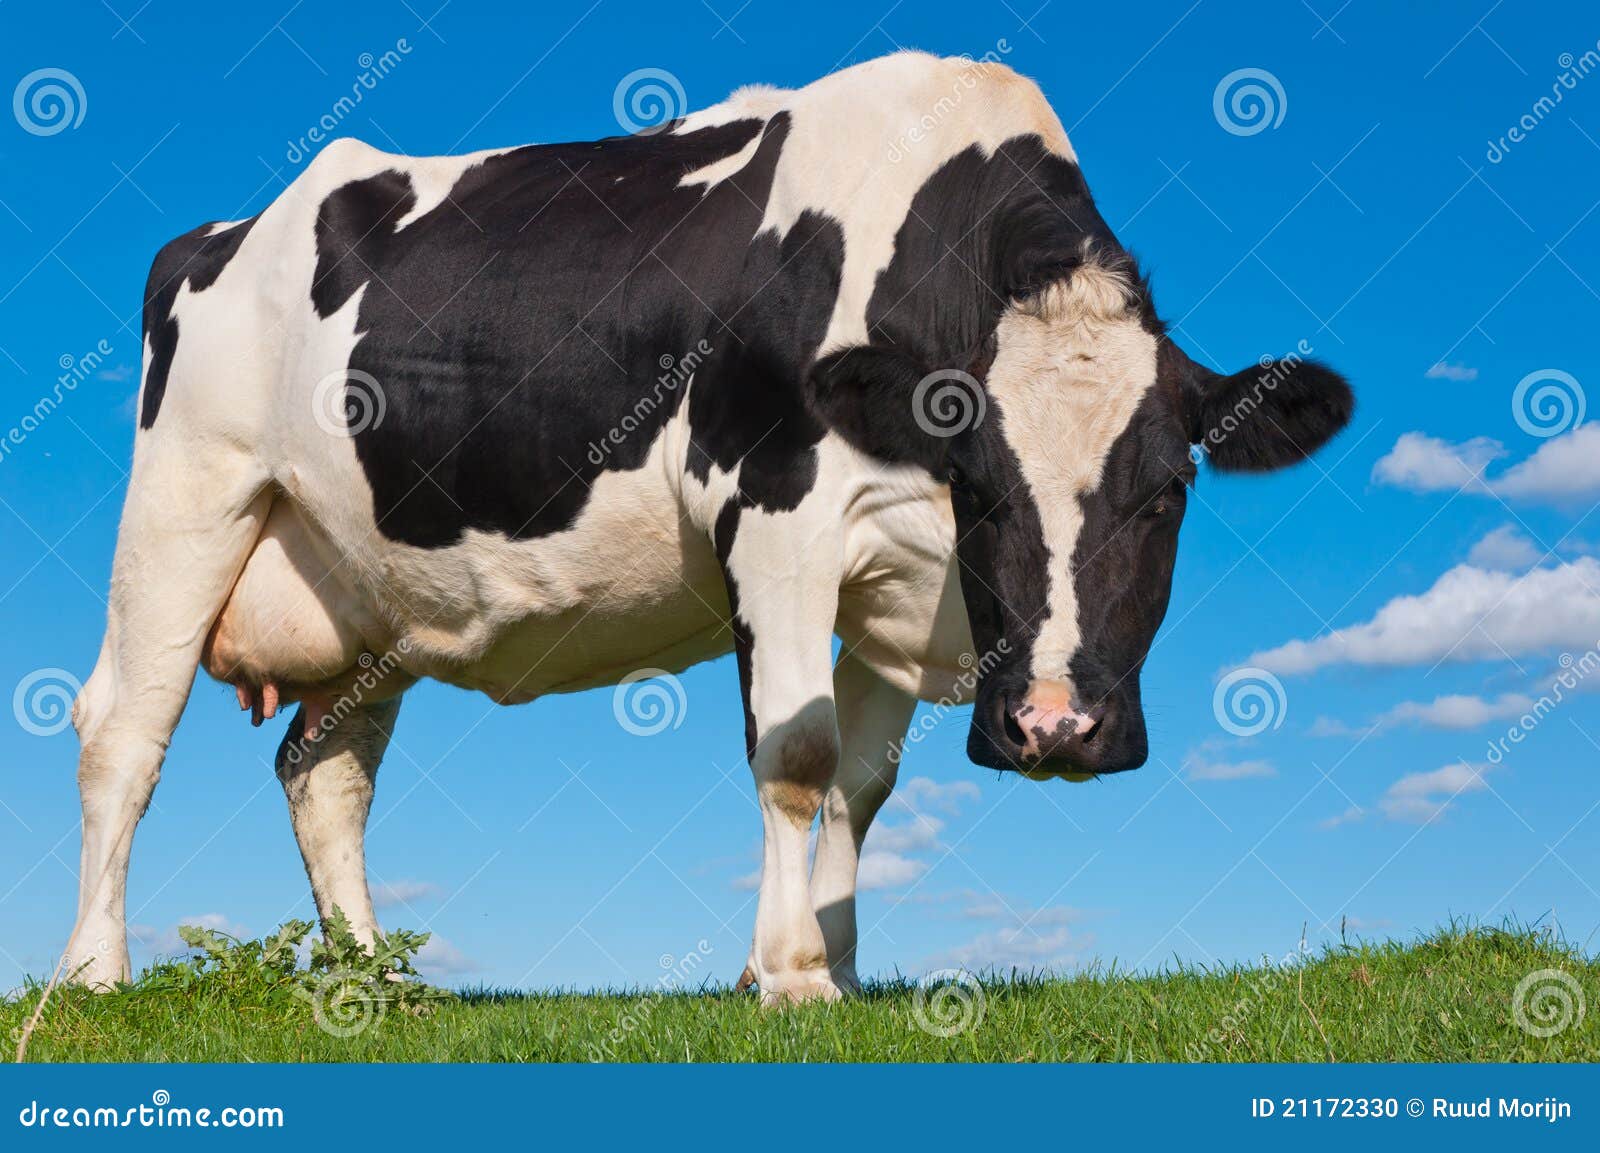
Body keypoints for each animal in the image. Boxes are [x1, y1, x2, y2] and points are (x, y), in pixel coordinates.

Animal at [64, 52, 1351, 1002]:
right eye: (980, 485)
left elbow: (864, 782)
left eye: (1168, 492)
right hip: (190, 495)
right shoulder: (776, 510)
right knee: (122, 729)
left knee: (321, 768)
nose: (1055, 727)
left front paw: (836, 964)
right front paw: (787, 978)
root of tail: (226, 228)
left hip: (375, 587)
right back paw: (93, 975)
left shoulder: (894, 584)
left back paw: (375, 984)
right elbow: (798, 752)